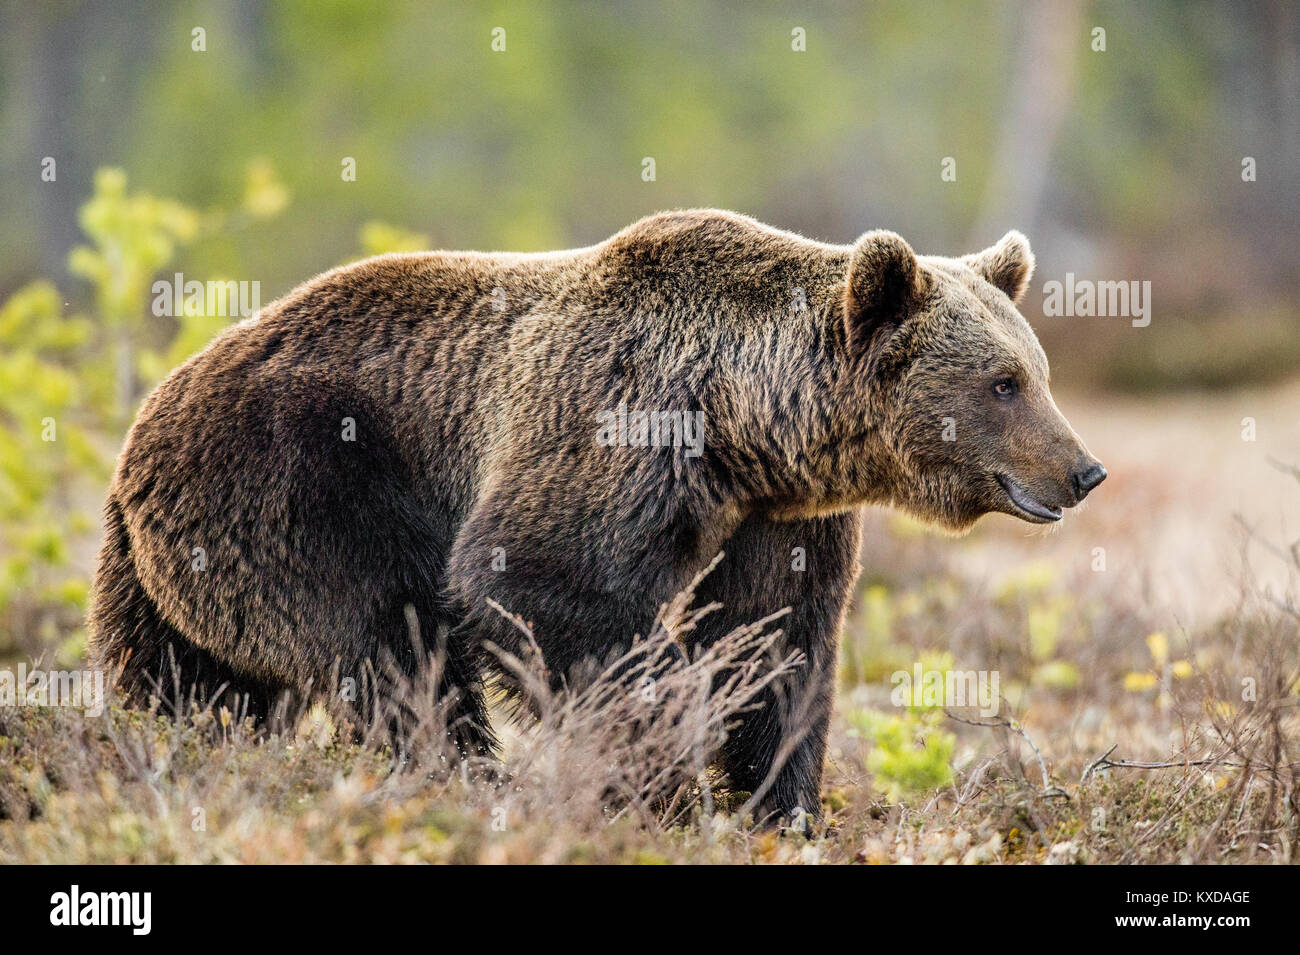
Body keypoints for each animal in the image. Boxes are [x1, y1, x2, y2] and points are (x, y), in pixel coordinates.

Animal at [87, 209, 1105, 825]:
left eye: (1038, 370)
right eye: (1003, 382)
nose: (1084, 469)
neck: (747, 425)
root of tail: (143, 423)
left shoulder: (779, 517)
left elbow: (776, 641)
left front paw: (778, 803)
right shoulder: (617, 432)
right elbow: (546, 584)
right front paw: (663, 784)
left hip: (178, 569)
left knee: (190, 682)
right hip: (298, 482)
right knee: (393, 647)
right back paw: (465, 782)